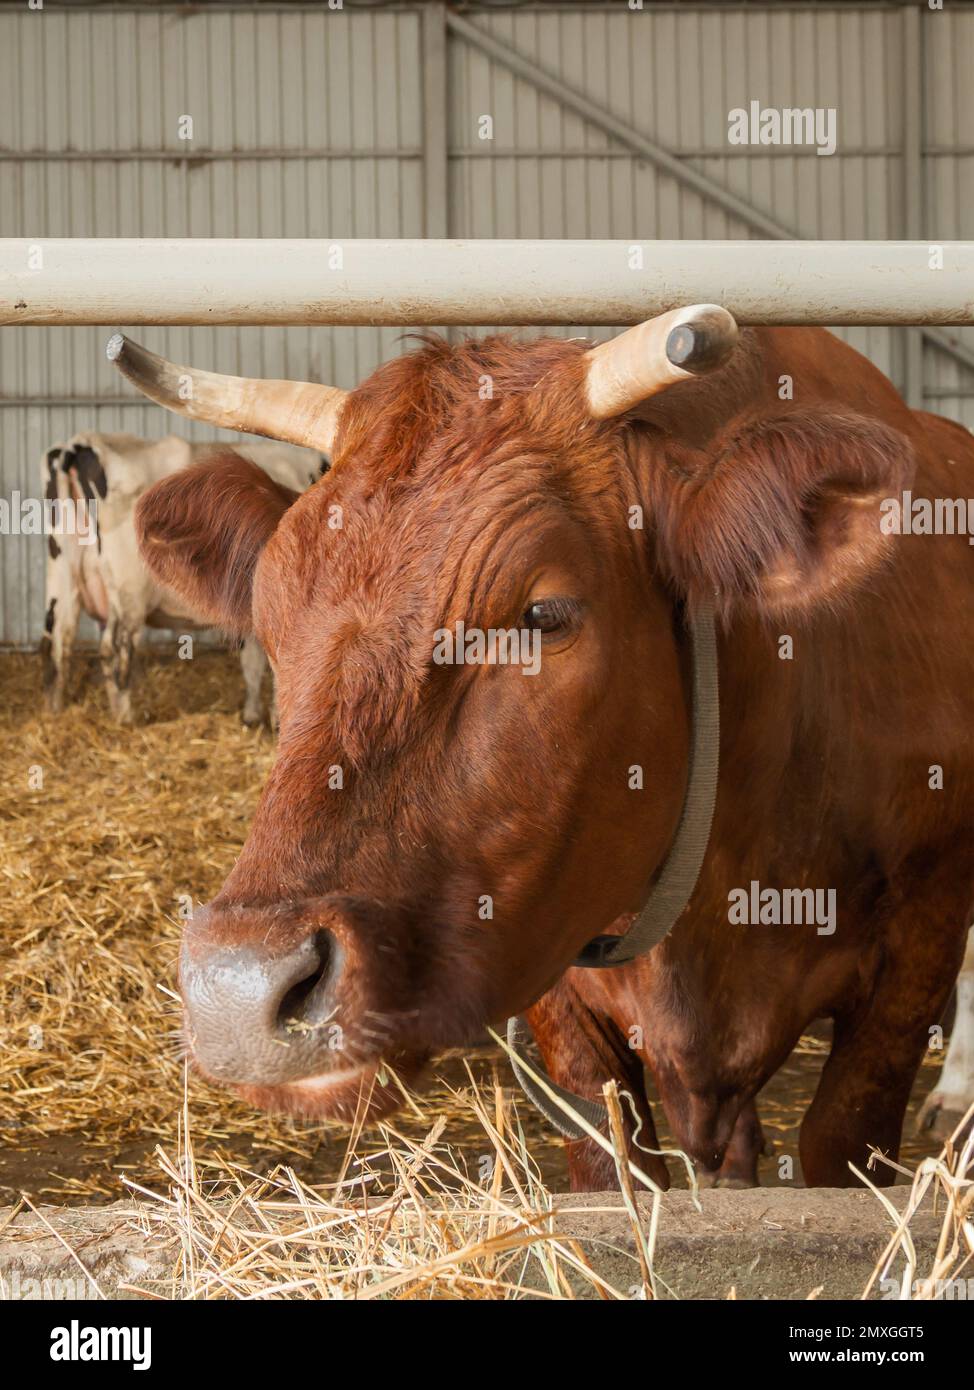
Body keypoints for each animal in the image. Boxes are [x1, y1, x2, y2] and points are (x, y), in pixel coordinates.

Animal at [40, 432, 328, 725]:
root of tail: (79, 443)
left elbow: (253, 660)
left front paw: (252, 715)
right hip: (128, 594)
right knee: (115, 648)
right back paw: (125, 716)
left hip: (62, 578)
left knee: (58, 642)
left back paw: (56, 711)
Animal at [106, 311, 974, 1192]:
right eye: (273, 621)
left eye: (544, 614)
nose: (238, 989)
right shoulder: (546, 962)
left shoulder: (917, 949)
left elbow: (843, 1145)